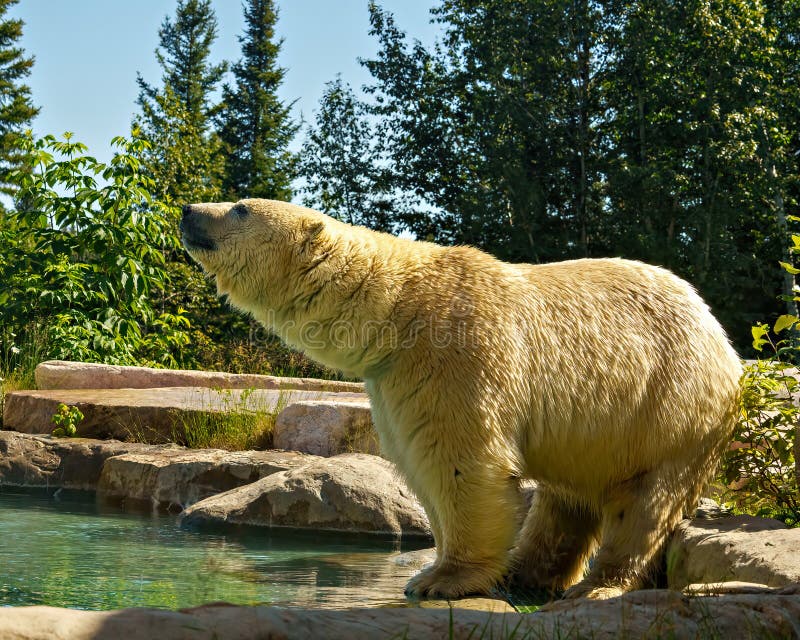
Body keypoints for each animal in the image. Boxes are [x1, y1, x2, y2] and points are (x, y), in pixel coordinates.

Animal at [180, 198, 742, 601]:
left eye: (241, 208)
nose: (187, 211)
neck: (398, 308)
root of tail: (722, 338)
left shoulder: (455, 354)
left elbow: (460, 461)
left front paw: (438, 580)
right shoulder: (392, 380)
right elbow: (418, 462)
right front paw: (434, 569)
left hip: (669, 408)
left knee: (644, 501)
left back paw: (599, 584)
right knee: (566, 498)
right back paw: (526, 573)